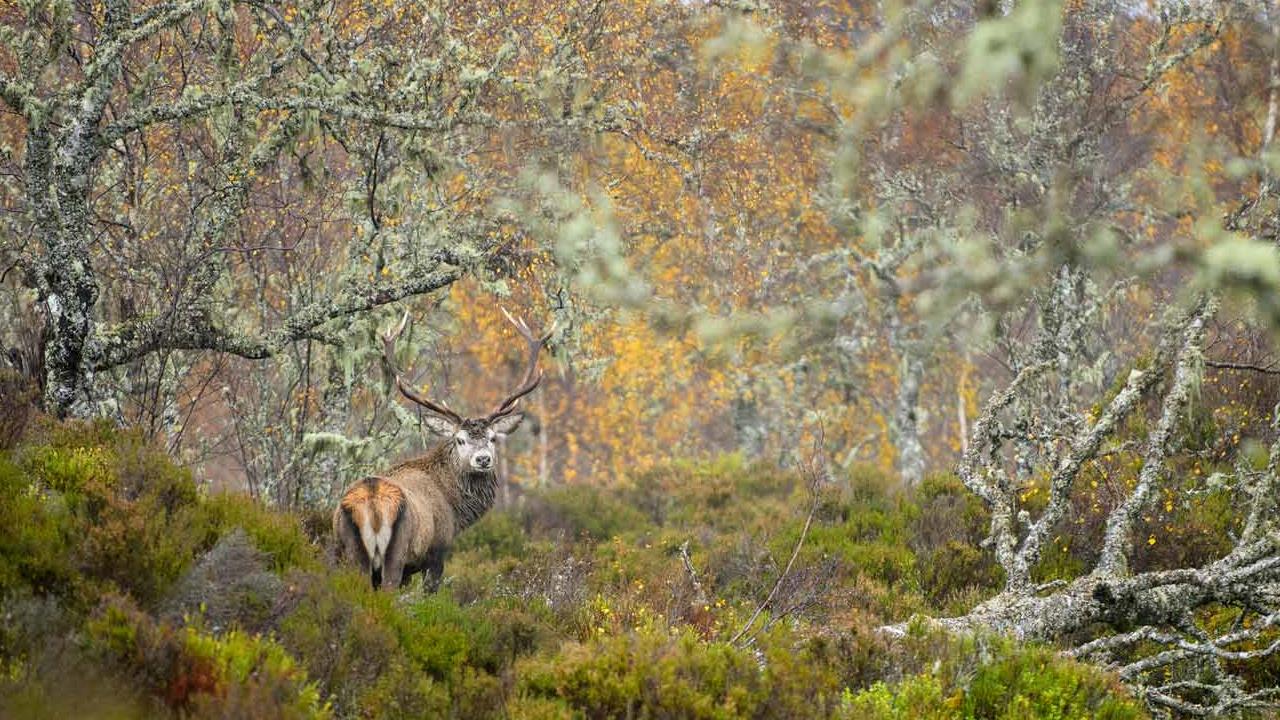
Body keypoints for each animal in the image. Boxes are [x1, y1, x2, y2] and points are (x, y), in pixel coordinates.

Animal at [333, 308, 553, 591]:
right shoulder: (438, 552)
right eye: (460, 440)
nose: (483, 459)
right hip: (396, 552)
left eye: (493, 438)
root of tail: (371, 502)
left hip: (348, 552)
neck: (455, 510)